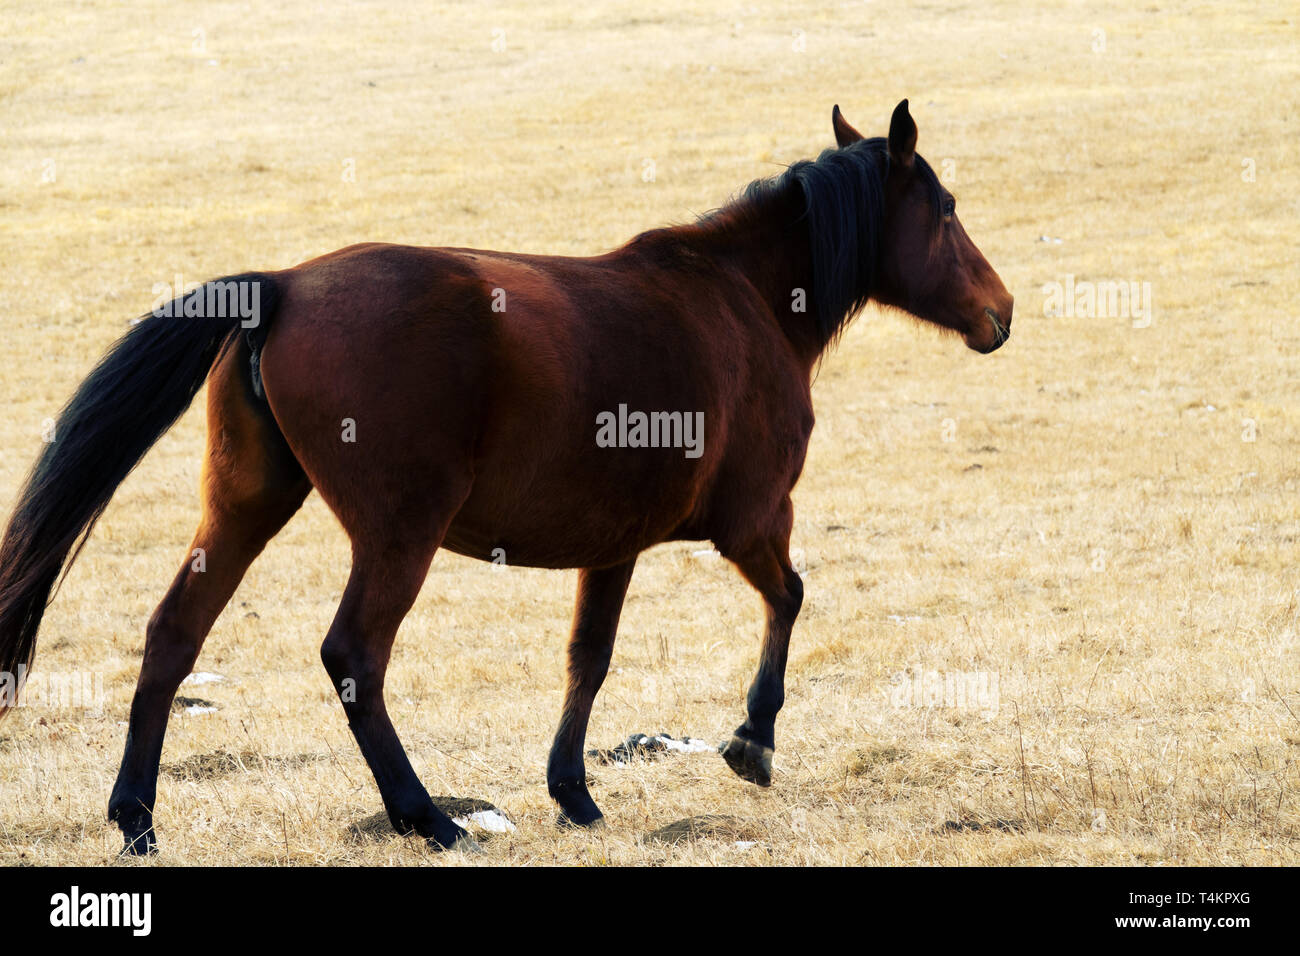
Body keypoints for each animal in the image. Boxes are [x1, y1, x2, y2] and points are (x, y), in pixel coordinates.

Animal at [0, 100, 1012, 854]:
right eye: (948, 208)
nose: (1001, 312)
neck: (742, 300)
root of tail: (283, 284)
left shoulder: (615, 547)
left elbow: (589, 657)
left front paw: (572, 790)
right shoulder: (753, 520)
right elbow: (790, 599)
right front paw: (752, 739)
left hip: (245, 507)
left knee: (174, 634)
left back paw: (137, 818)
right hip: (398, 535)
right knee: (353, 655)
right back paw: (424, 816)